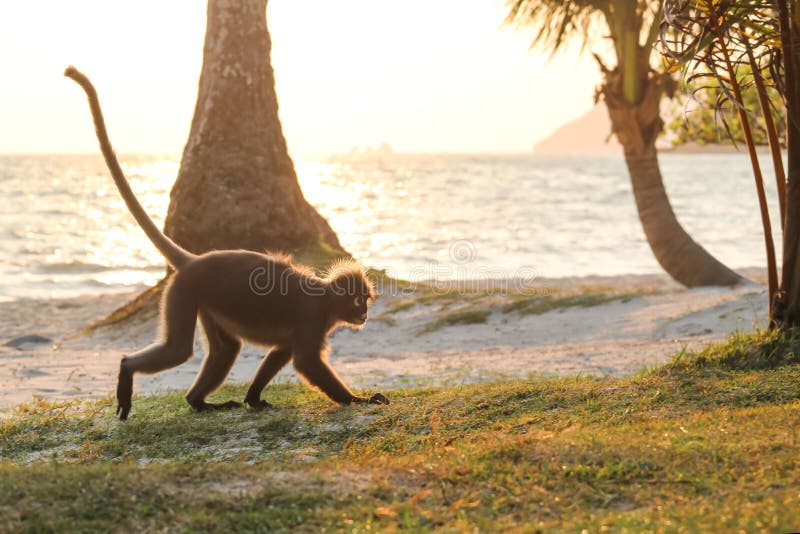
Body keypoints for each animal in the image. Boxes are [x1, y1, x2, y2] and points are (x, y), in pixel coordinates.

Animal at [64, 66, 390, 420]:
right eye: (359, 301)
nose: (365, 314)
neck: (326, 298)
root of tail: (193, 260)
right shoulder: (312, 318)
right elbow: (305, 361)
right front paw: (357, 400)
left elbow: (281, 352)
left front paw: (253, 397)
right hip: (183, 291)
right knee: (179, 349)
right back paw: (128, 370)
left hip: (204, 299)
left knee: (225, 349)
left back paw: (198, 401)